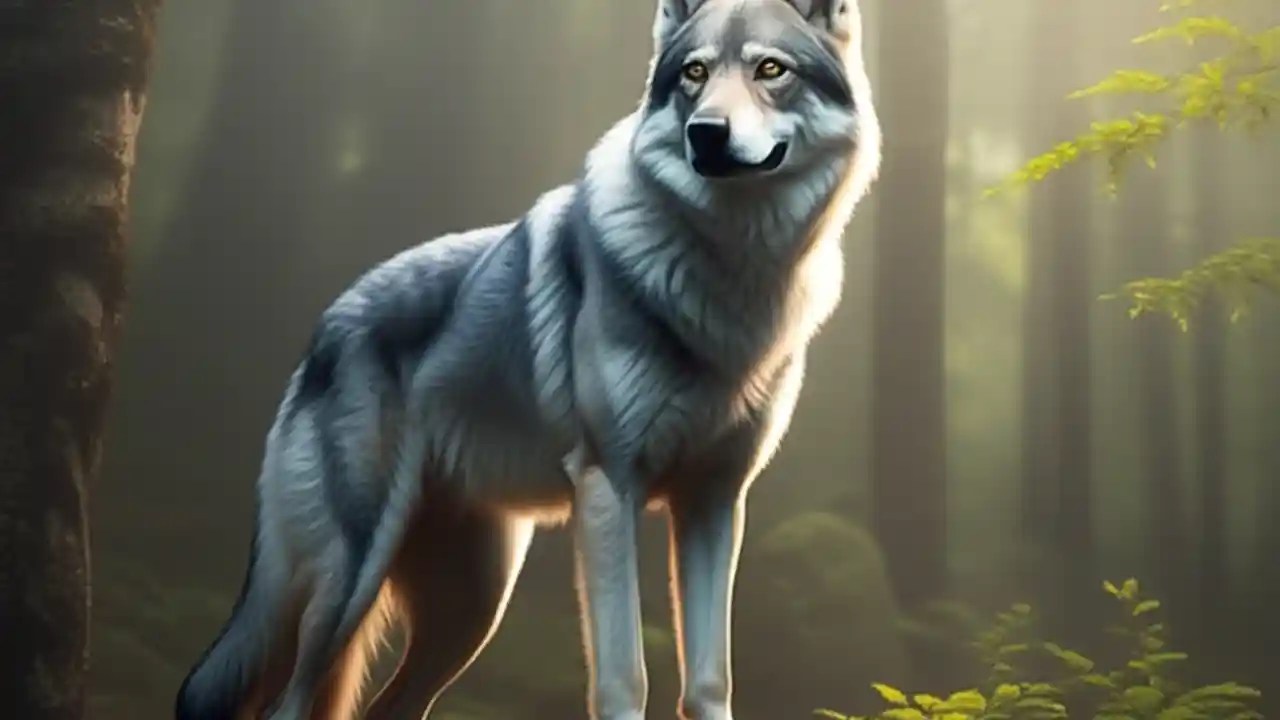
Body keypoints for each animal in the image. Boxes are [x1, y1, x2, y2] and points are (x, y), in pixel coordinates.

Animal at [175, 0, 881, 718]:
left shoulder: (715, 502)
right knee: (290, 702)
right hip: (356, 580)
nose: (706, 133)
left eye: (770, 70)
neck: (729, 272)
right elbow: (625, 676)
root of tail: (322, 330)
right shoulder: (608, 488)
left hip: (472, 612)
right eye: (694, 74)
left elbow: (709, 681)